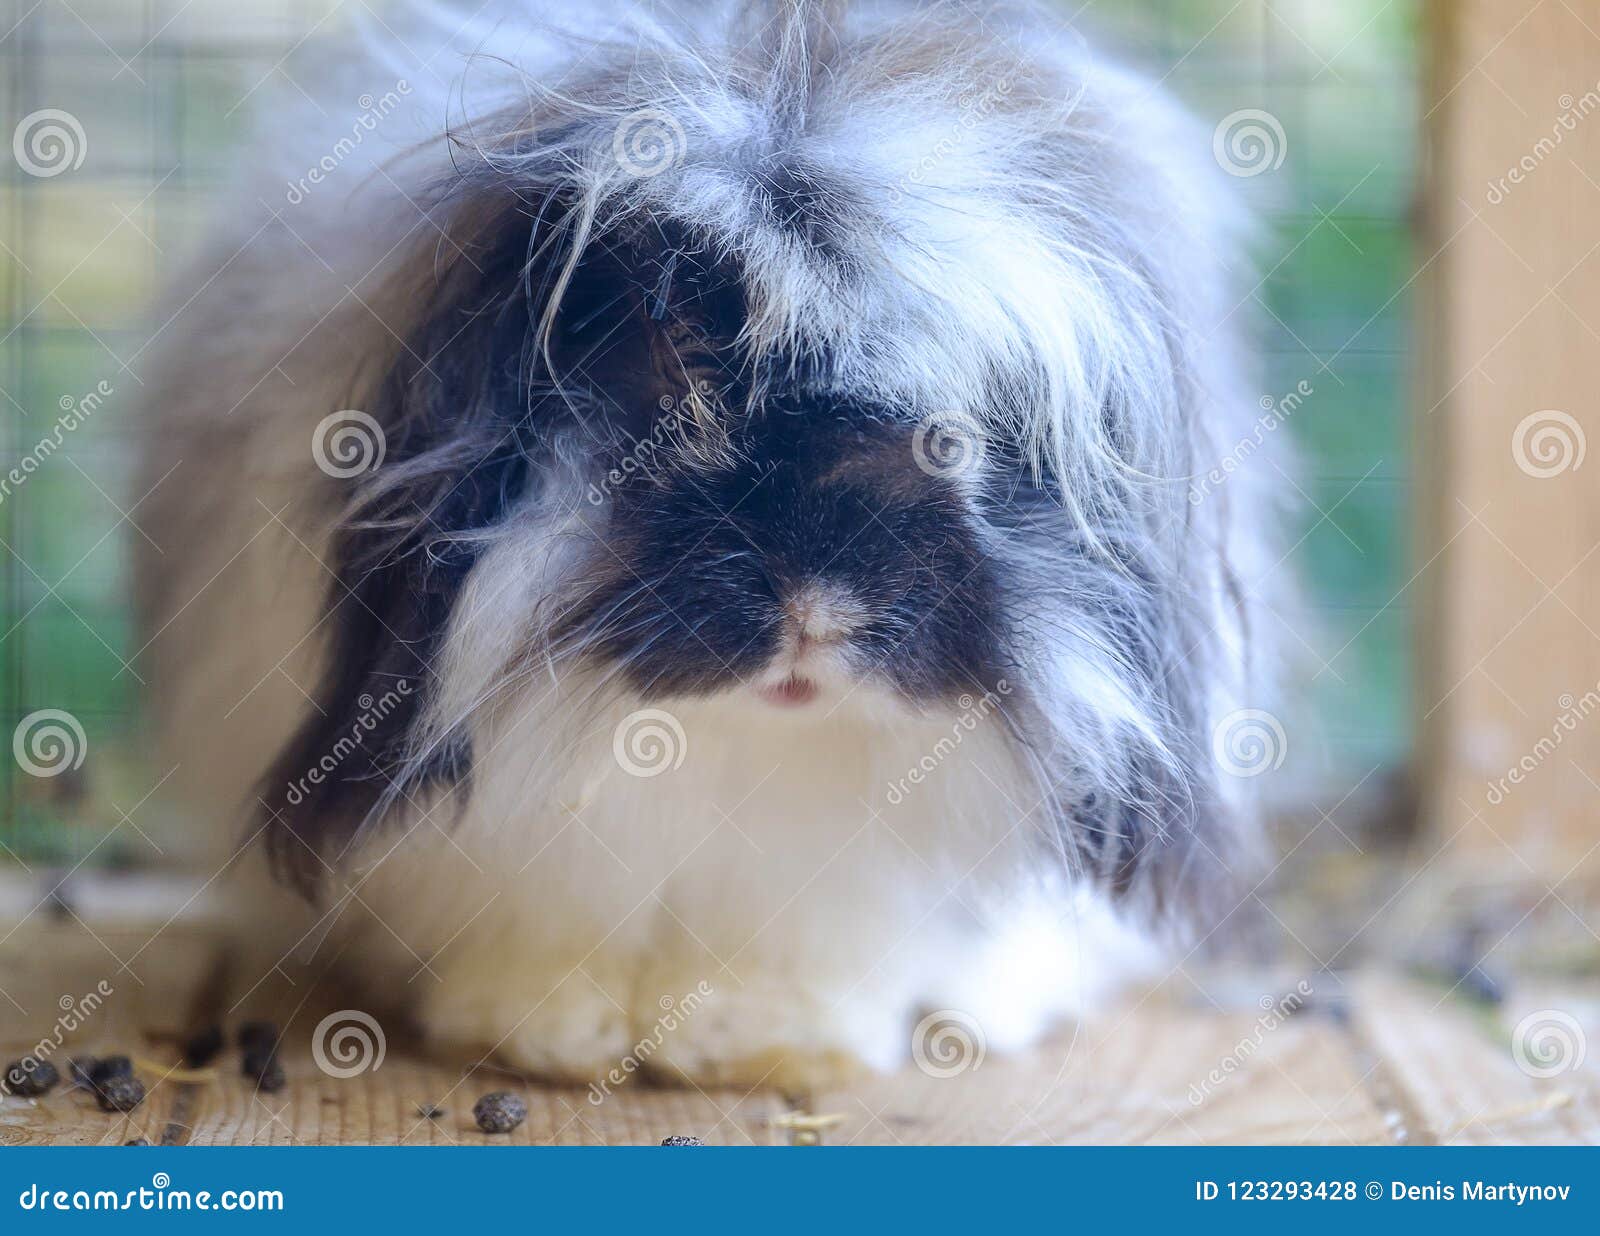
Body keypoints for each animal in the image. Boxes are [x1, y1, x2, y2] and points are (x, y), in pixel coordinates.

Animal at [133, 0, 1277, 1092]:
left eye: (961, 442)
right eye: (677, 388)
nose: (818, 610)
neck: (736, 742)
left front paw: (760, 1046)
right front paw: (550, 1035)